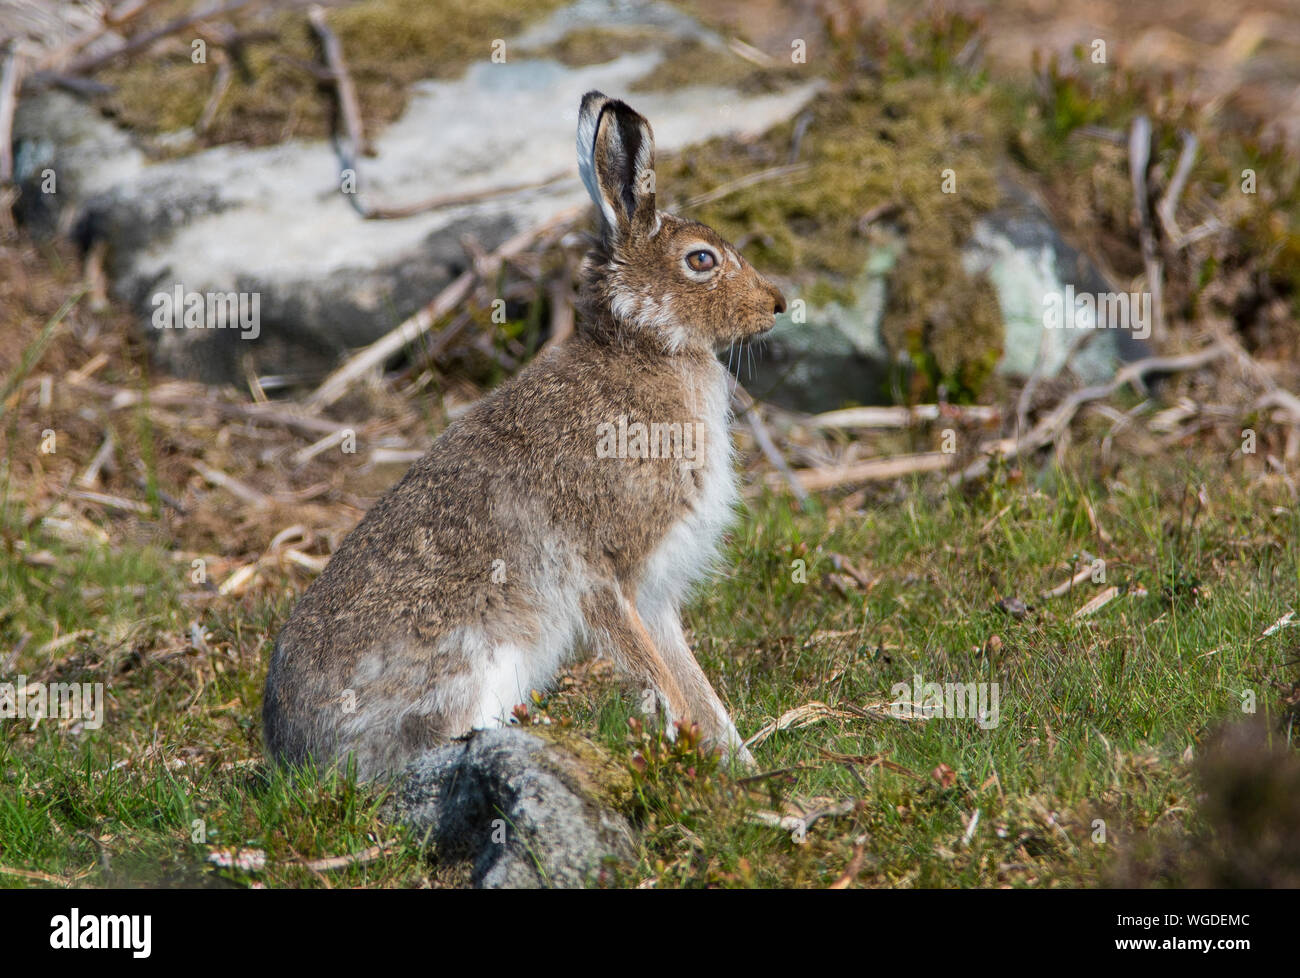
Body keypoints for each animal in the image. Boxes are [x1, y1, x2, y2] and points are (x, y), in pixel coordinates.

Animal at [263, 91, 787, 781]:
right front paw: (696, 753)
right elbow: (658, 676)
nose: (778, 304)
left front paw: (740, 763)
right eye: (702, 260)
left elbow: (692, 679)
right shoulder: (608, 574)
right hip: (477, 656)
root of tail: (296, 756)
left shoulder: (656, 591)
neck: (644, 345)